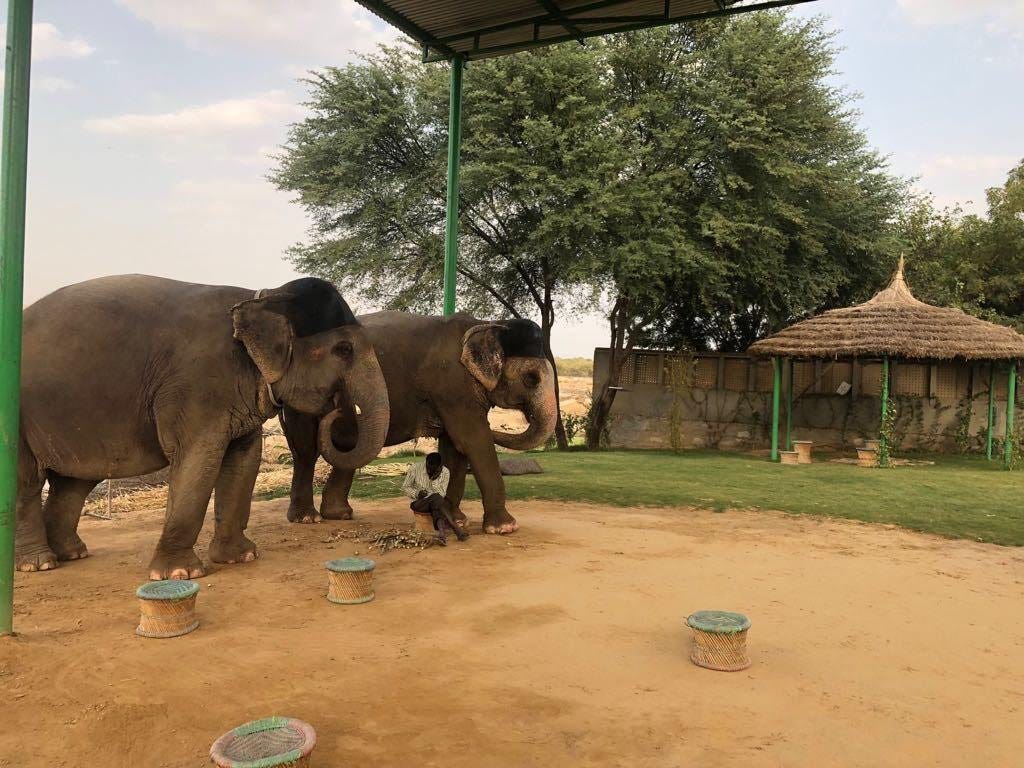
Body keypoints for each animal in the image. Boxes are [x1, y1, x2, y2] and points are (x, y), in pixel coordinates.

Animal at [15, 274, 389, 579]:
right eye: (344, 349)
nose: (336, 411)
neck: (261, 296)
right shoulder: (197, 386)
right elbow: (199, 458)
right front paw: (179, 574)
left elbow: (244, 461)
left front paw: (241, 558)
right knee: (28, 480)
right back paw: (39, 564)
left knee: (73, 482)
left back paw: (71, 554)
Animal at [281, 311, 557, 534]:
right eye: (531, 378)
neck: (487, 323)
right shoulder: (451, 384)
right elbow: (471, 440)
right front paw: (505, 528)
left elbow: (454, 448)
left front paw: (457, 520)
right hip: (300, 394)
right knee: (306, 450)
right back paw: (308, 518)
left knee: (349, 449)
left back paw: (338, 515)